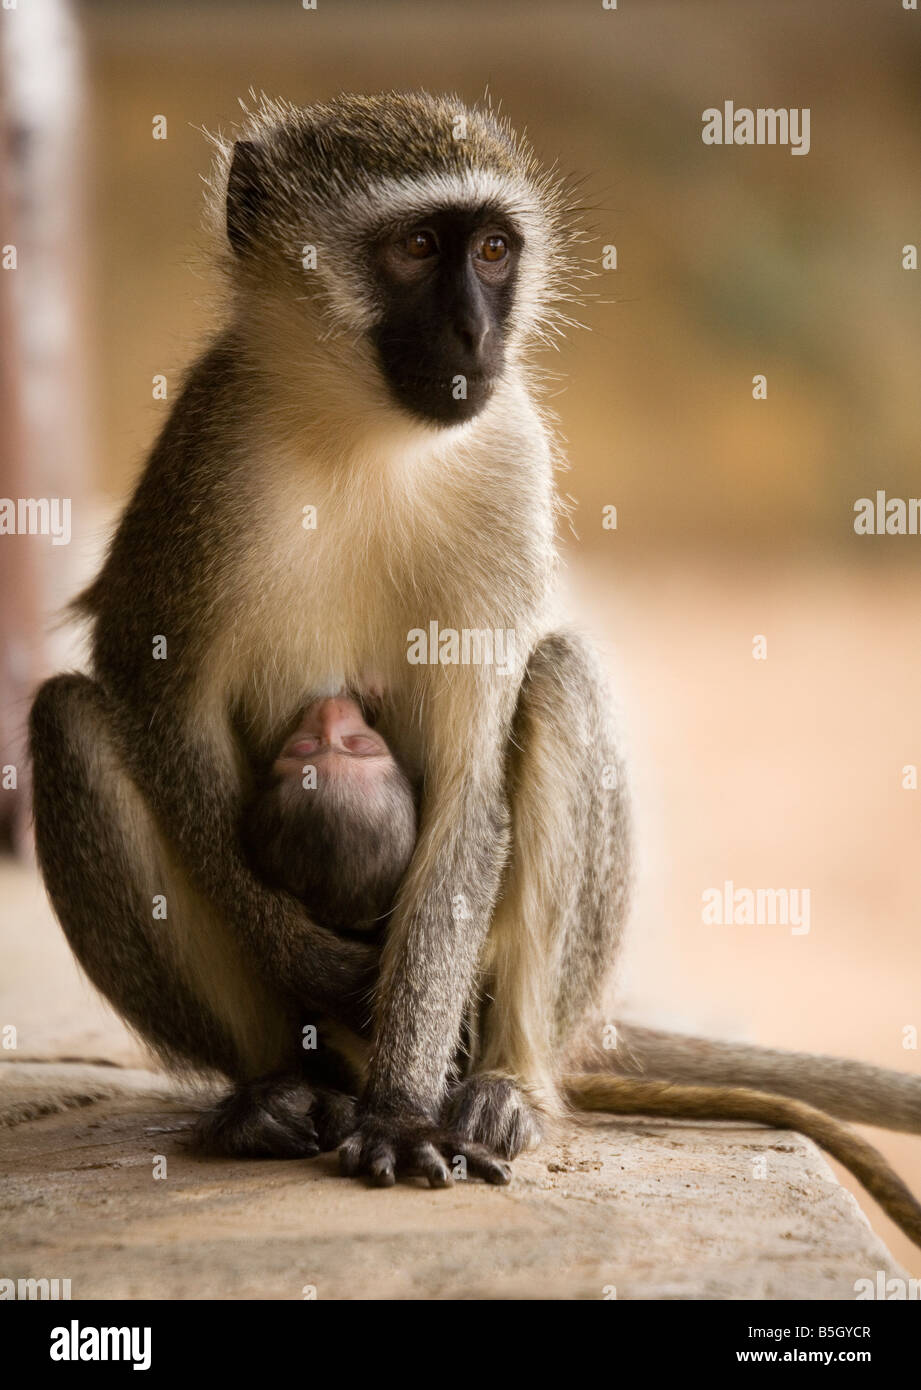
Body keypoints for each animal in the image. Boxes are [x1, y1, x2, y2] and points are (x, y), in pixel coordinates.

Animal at [27, 92, 921, 1245]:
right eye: (416, 249)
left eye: (494, 251)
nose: (474, 333)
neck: (362, 432)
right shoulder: (205, 458)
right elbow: (147, 699)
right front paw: (318, 962)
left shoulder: (511, 458)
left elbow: (467, 784)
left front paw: (406, 1113)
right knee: (69, 720)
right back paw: (269, 1093)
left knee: (559, 677)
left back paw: (501, 1089)